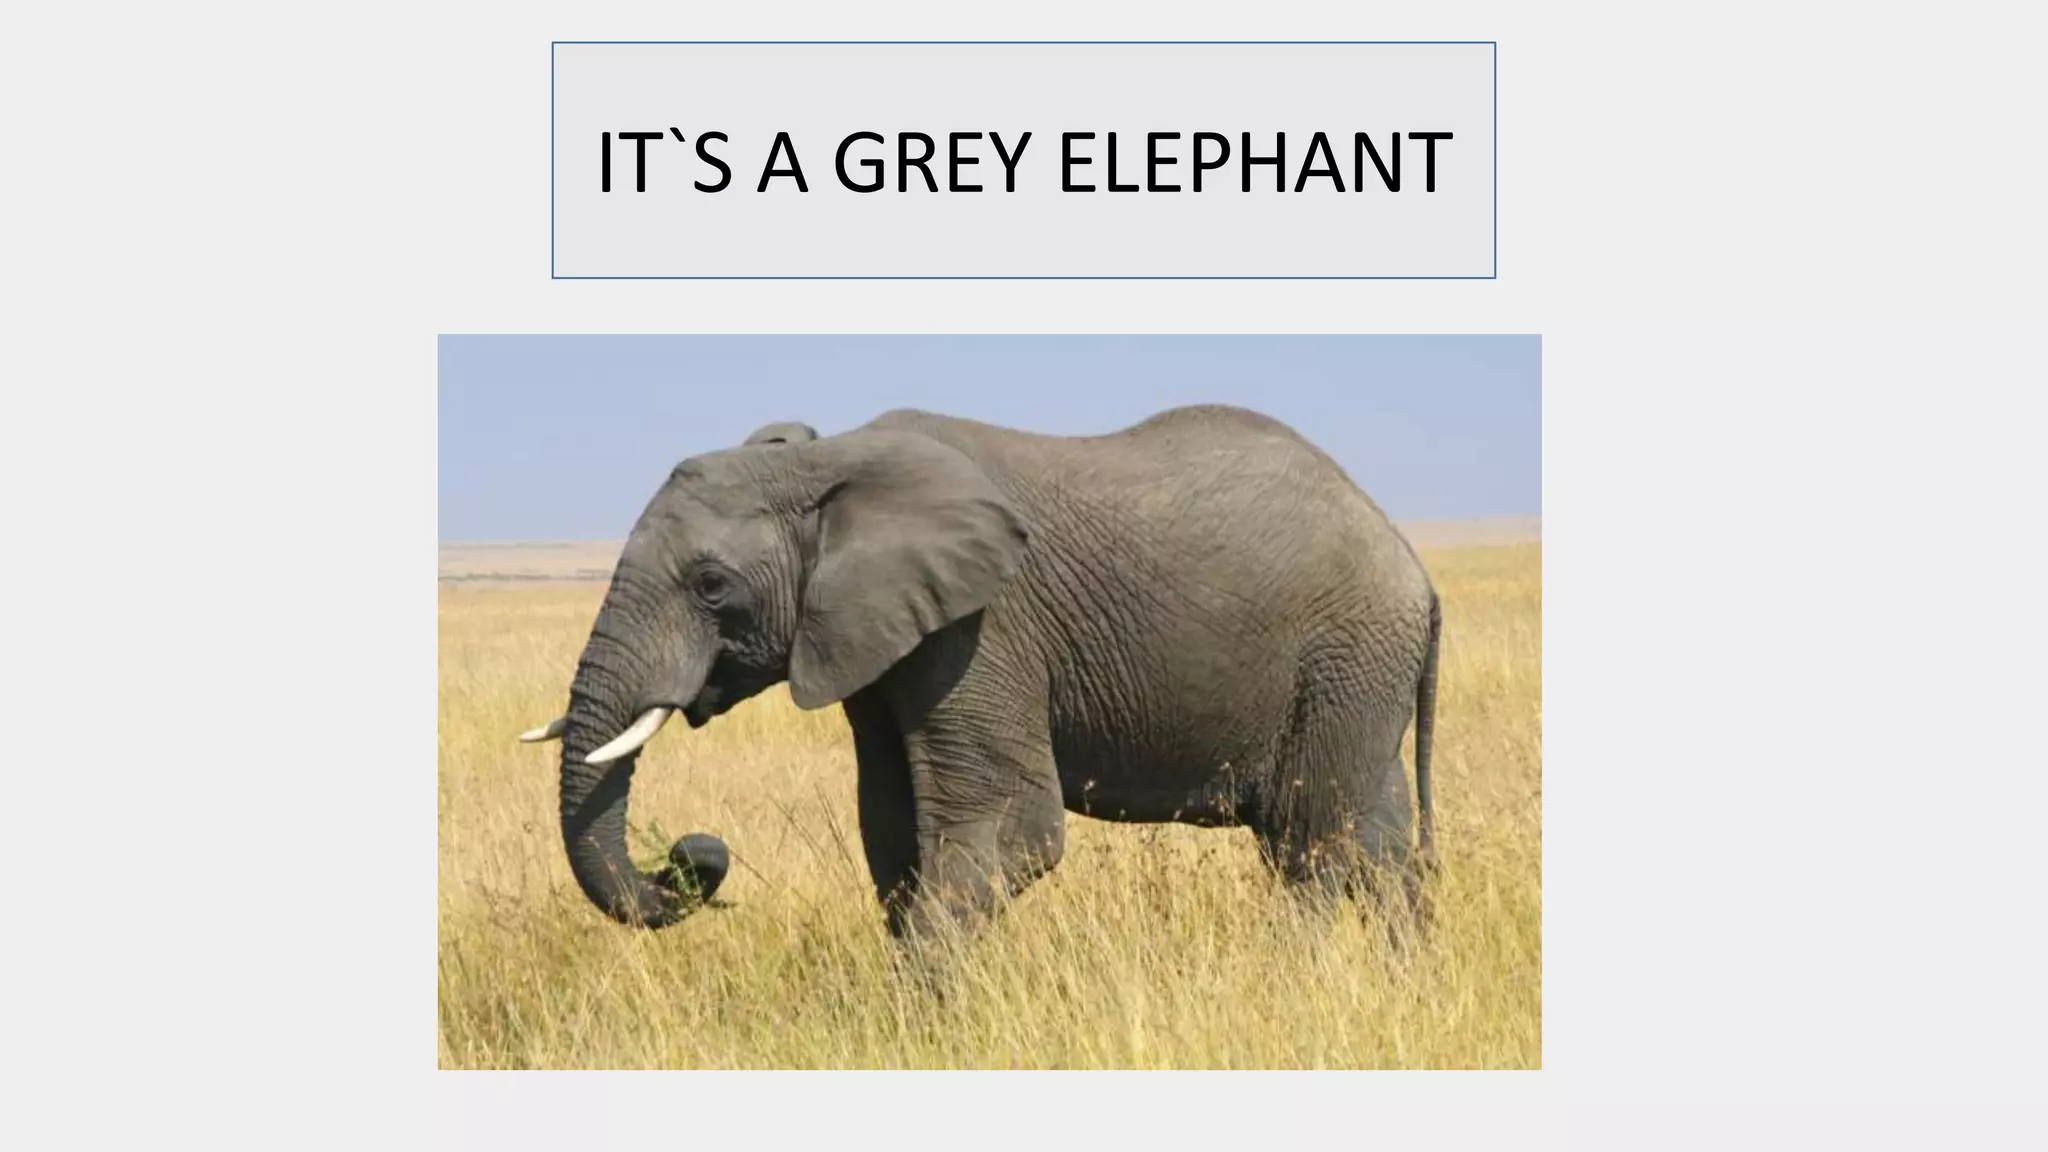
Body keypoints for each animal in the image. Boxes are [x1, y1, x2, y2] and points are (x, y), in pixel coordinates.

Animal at [520, 405, 1441, 940]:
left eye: (711, 585)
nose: (695, 850)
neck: (830, 463)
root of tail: (1413, 565)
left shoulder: (984, 627)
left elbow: (1009, 829)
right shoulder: (877, 640)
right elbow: (894, 833)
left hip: (1344, 652)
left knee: (1313, 842)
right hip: (1359, 673)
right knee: (1380, 842)